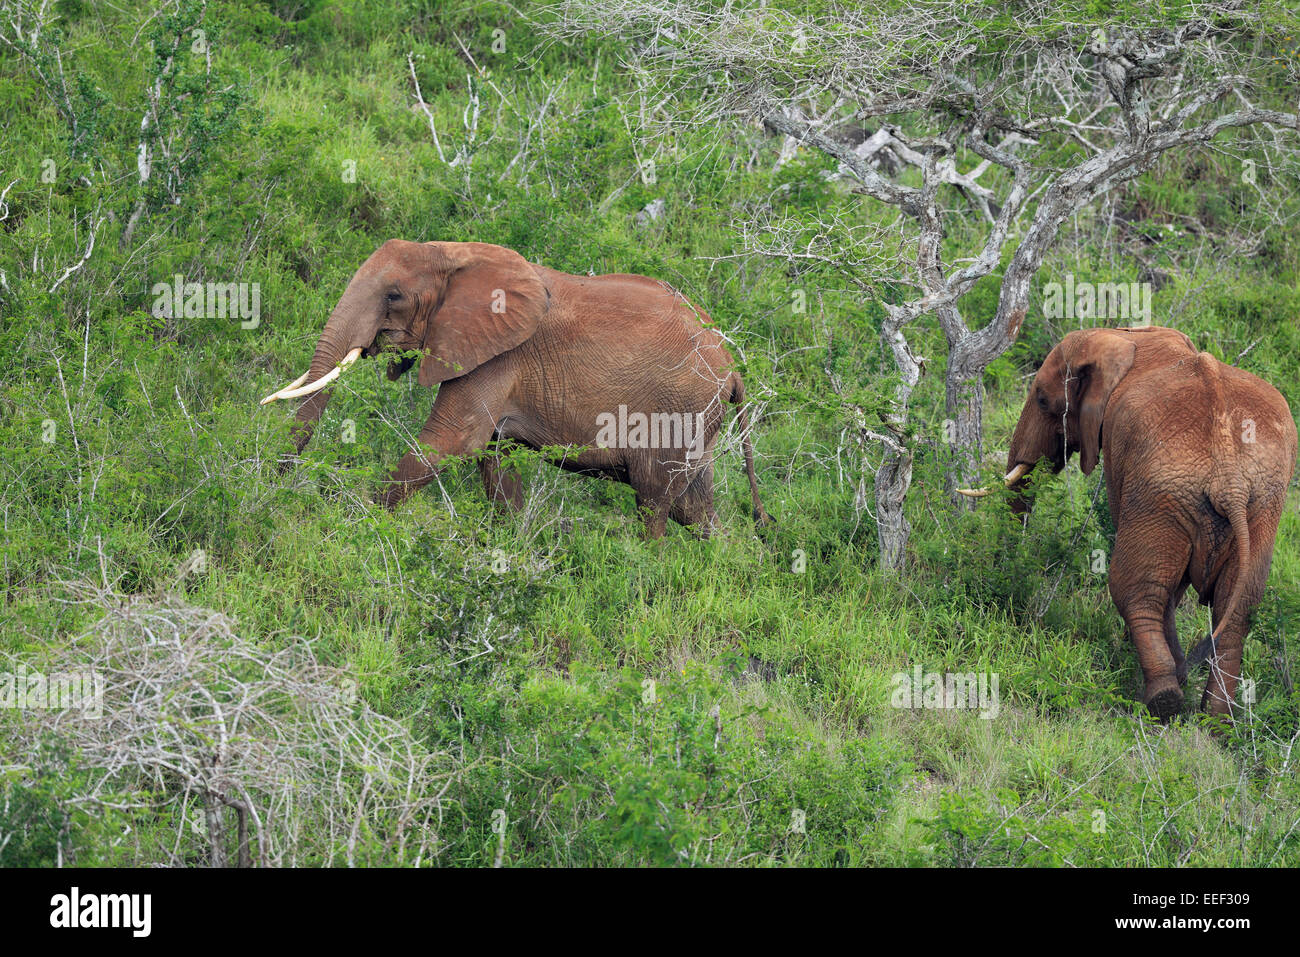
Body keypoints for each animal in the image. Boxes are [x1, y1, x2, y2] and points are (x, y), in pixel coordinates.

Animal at [261, 239, 771, 538]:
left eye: (394, 296)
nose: (274, 483)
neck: (454, 252)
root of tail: (733, 368)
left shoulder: (498, 357)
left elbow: (448, 443)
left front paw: (358, 525)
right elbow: (495, 459)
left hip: (677, 412)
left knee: (654, 503)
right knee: (696, 509)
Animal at [994, 325, 1296, 719]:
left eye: (1043, 401)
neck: (1126, 337)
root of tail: (1229, 479)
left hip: (1164, 491)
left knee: (1135, 589)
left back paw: (1163, 700)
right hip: (1259, 505)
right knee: (1237, 605)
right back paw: (1215, 718)